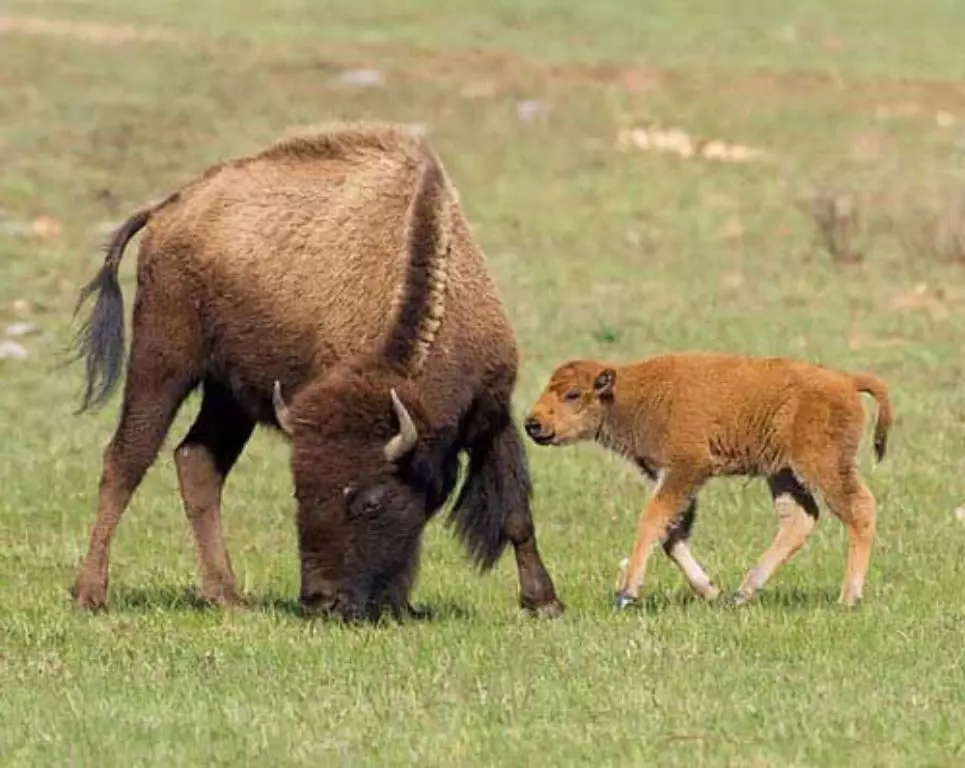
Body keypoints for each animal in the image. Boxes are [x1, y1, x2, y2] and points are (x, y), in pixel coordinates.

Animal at [69, 121, 564, 624]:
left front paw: (544, 603)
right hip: (162, 361)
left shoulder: (492, 414)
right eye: (300, 493)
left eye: (370, 500)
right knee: (126, 460)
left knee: (197, 462)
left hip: (226, 395)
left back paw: (226, 596)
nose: (319, 601)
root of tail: (167, 209)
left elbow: (517, 515)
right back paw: (91, 594)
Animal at [524, 354, 892, 612]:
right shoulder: (669, 476)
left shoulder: (687, 469)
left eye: (573, 394)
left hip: (823, 465)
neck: (631, 393)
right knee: (798, 520)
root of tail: (845, 380)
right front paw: (710, 590)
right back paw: (742, 593)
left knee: (860, 510)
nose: (533, 424)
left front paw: (627, 592)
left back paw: (849, 597)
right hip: (783, 472)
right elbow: (671, 534)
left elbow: (653, 520)